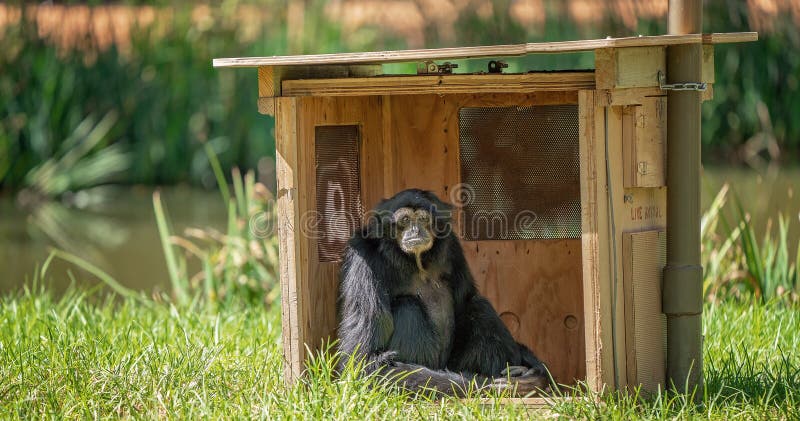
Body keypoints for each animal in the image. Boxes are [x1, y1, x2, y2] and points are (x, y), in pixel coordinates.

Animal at [336, 189, 549, 397]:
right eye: (405, 220)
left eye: (422, 219)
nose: (415, 231)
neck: (415, 262)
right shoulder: (364, 258)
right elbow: (364, 363)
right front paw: (493, 385)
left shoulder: (452, 246)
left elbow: (465, 301)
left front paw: (535, 371)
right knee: (408, 306)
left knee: (478, 305)